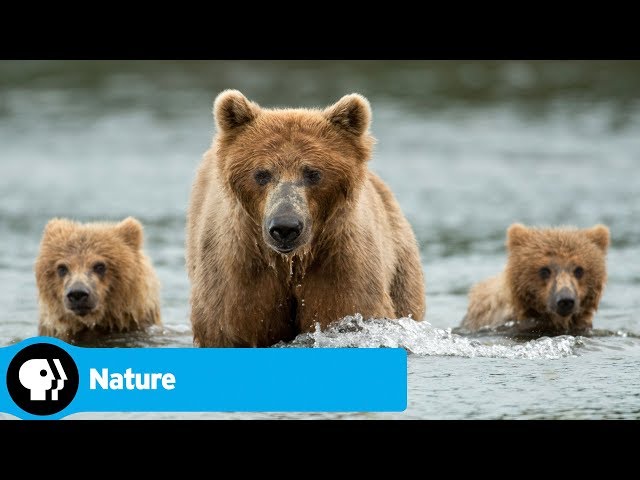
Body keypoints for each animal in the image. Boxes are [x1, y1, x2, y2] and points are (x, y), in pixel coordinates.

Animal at [186, 90, 426, 347]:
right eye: (261, 173)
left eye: (313, 173)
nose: (285, 227)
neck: (291, 262)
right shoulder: (239, 273)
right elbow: (229, 326)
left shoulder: (339, 264)